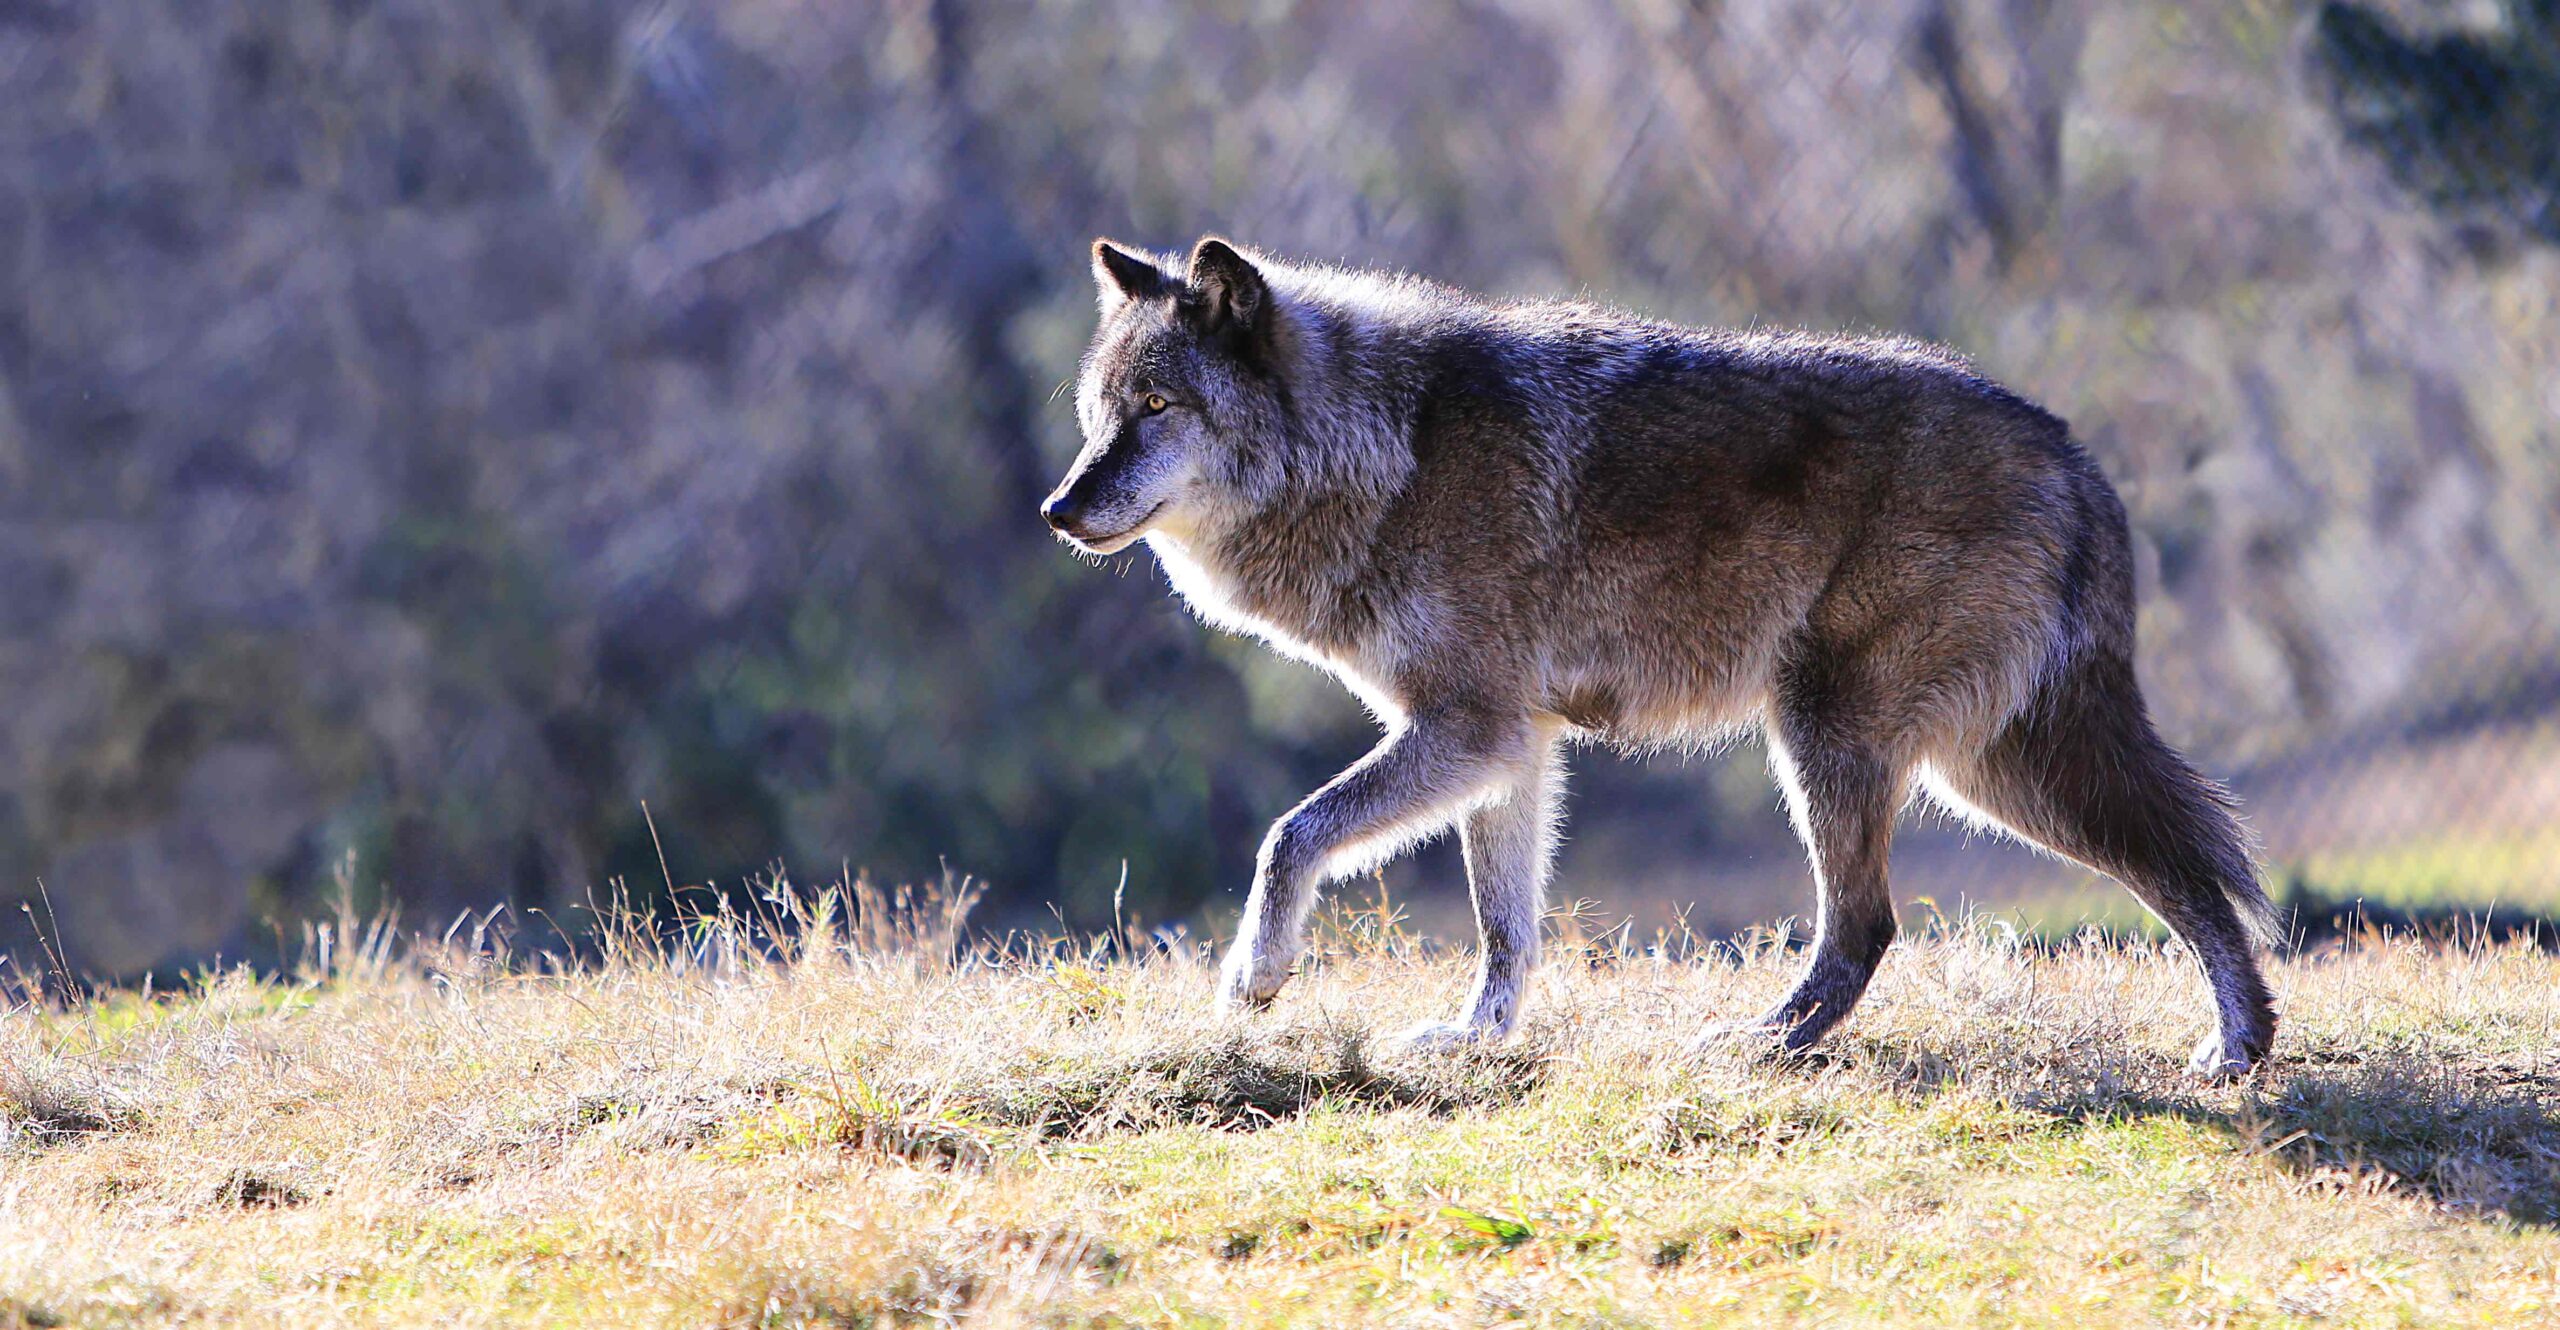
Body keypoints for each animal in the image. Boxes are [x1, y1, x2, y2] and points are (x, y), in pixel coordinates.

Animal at [1042, 236, 2281, 1076]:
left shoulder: (1466, 728)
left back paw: (1765, 1044)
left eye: (1158, 405)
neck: (1388, 452)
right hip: (1989, 768)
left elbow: (1288, 835)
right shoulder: (1510, 749)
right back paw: (2245, 1043)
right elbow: (1506, 927)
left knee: (1875, 922)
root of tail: (2074, 453)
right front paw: (1478, 1040)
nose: (1058, 507)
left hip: (1841, 741)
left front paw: (1252, 978)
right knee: (2179, 867)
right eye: (1098, 412)